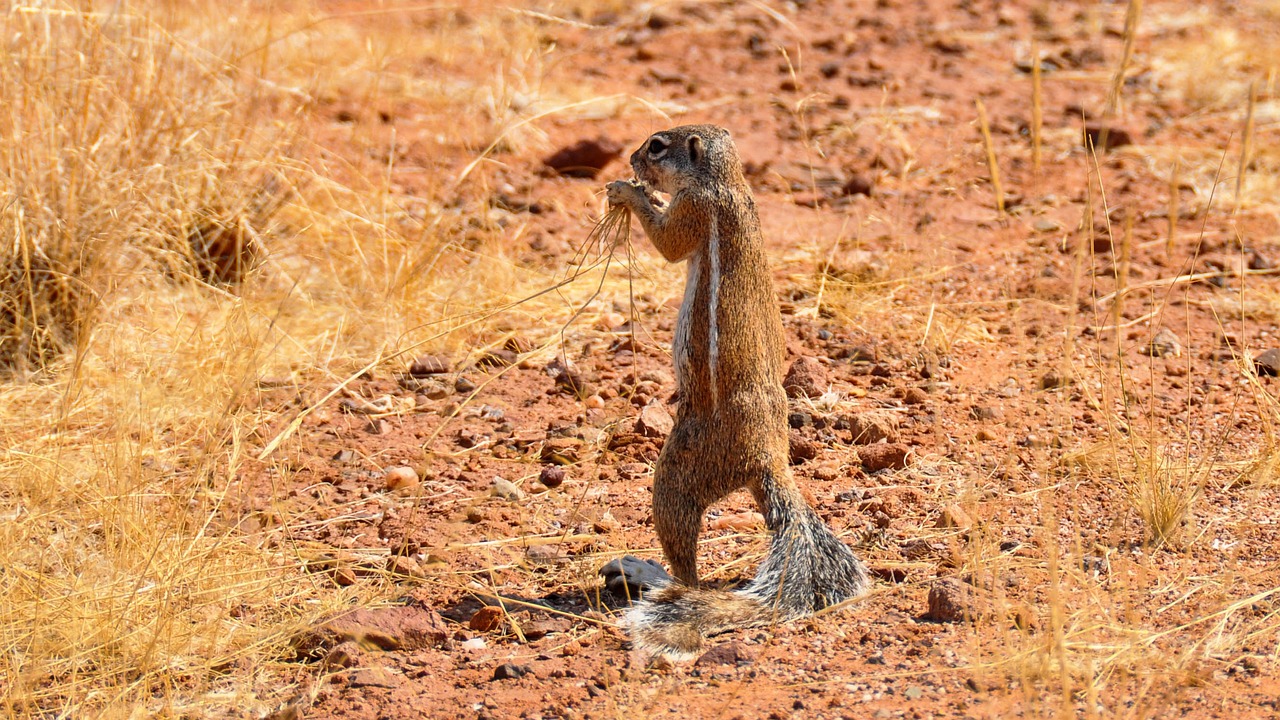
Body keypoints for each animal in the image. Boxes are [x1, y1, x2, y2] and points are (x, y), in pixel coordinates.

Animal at [601, 124, 869, 659]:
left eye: (657, 146)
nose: (632, 158)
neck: (726, 180)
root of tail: (768, 458)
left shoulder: (693, 209)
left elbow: (667, 242)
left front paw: (627, 191)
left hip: (678, 474)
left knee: (688, 569)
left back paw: (651, 575)